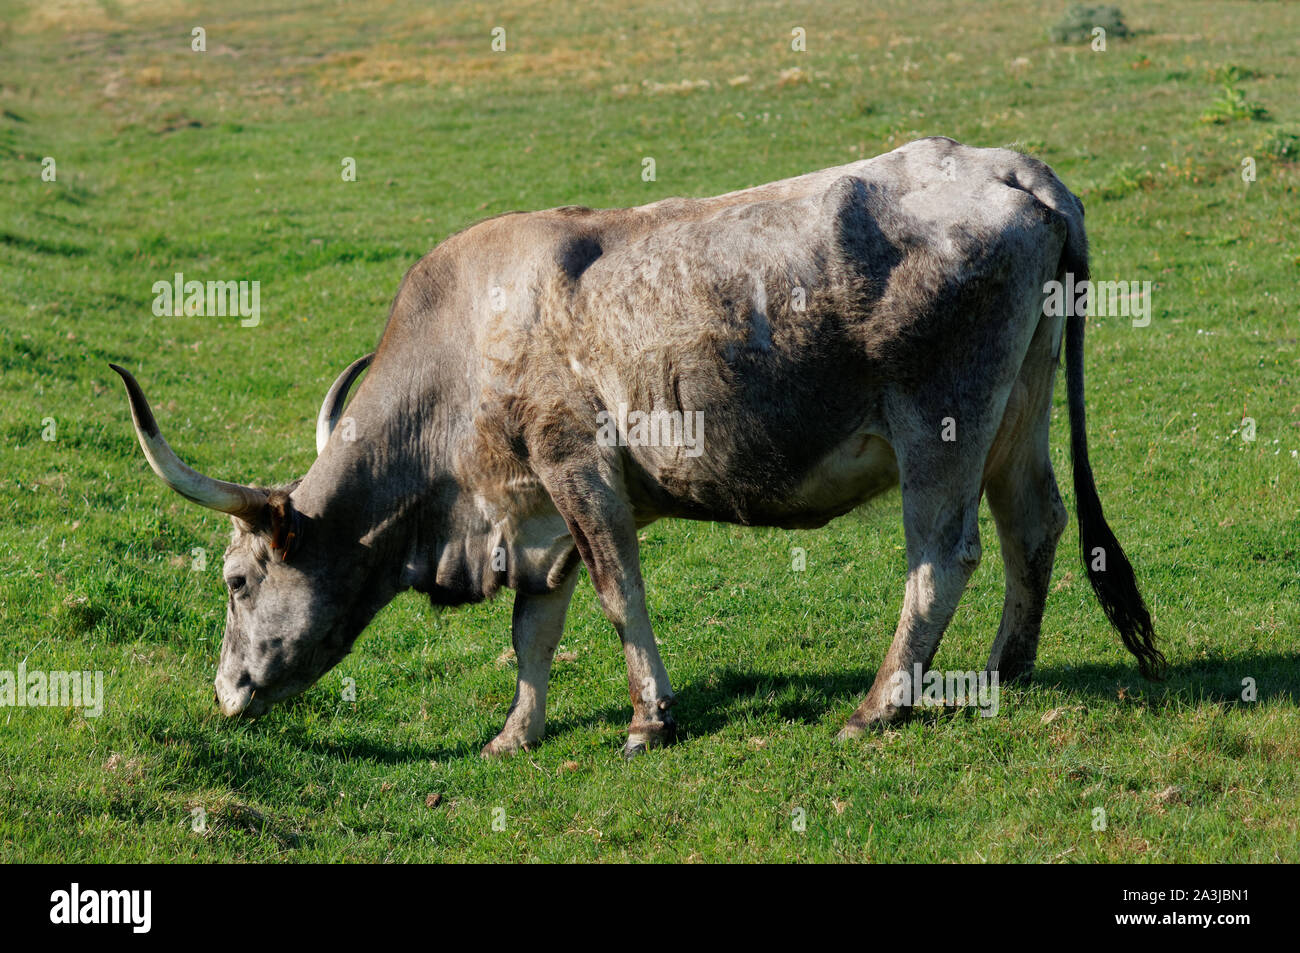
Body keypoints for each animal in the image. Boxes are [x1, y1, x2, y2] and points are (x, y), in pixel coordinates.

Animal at [112, 136, 1165, 758]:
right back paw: (1003, 668)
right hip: (1015, 417)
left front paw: (649, 717)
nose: (225, 691)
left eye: (236, 581)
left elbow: (620, 594)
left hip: (939, 429)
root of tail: (1003, 165)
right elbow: (535, 627)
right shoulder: (535, 512)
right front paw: (516, 733)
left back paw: (880, 704)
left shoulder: (576, 467)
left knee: (942, 558)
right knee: (1035, 527)